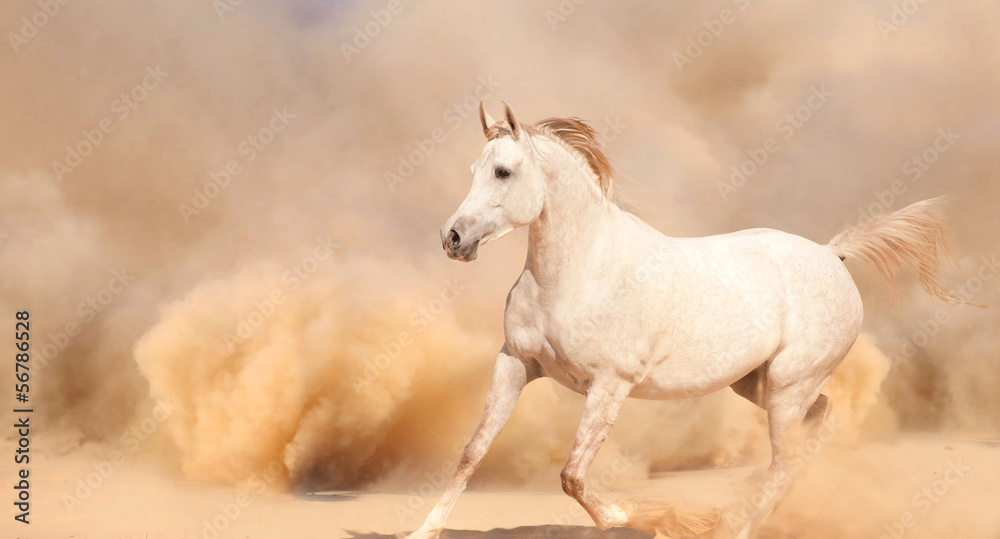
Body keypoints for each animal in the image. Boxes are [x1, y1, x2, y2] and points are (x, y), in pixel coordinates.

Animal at [404, 102, 966, 539]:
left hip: (788, 387)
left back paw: (740, 527)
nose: (453, 238)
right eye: (474, 169)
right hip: (758, 385)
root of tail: (832, 255)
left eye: (503, 172)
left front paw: (636, 515)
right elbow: (472, 453)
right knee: (817, 423)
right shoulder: (516, 364)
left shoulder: (610, 384)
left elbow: (572, 475)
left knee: (783, 462)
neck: (577, 272)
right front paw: (422, 530)